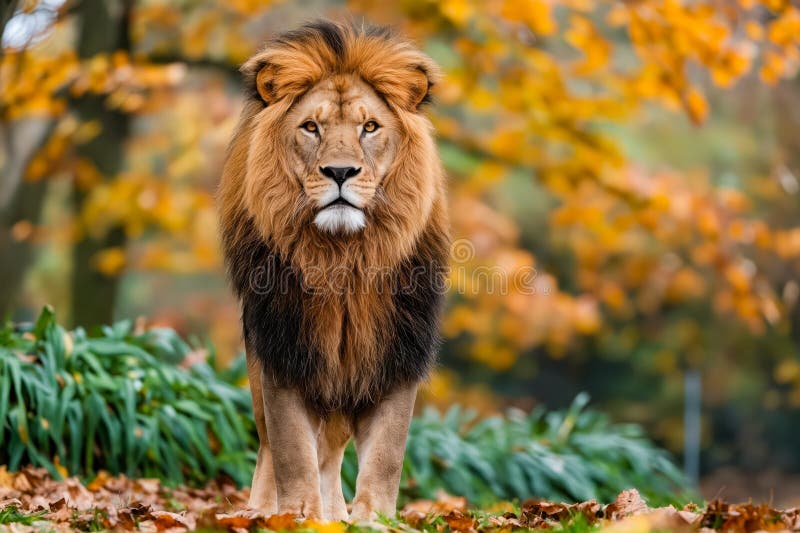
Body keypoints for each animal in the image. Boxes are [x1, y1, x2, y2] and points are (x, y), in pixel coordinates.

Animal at [217, 20, 450, 521]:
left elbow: (386, 455)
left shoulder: (396, 355)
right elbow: (291, 451)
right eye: (311, 127)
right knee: (273, 448)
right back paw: (263, 510)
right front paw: (299, 517)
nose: (340, 171)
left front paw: (371, 520)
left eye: (370, 127)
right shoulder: (285, 351)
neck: (345, 260)